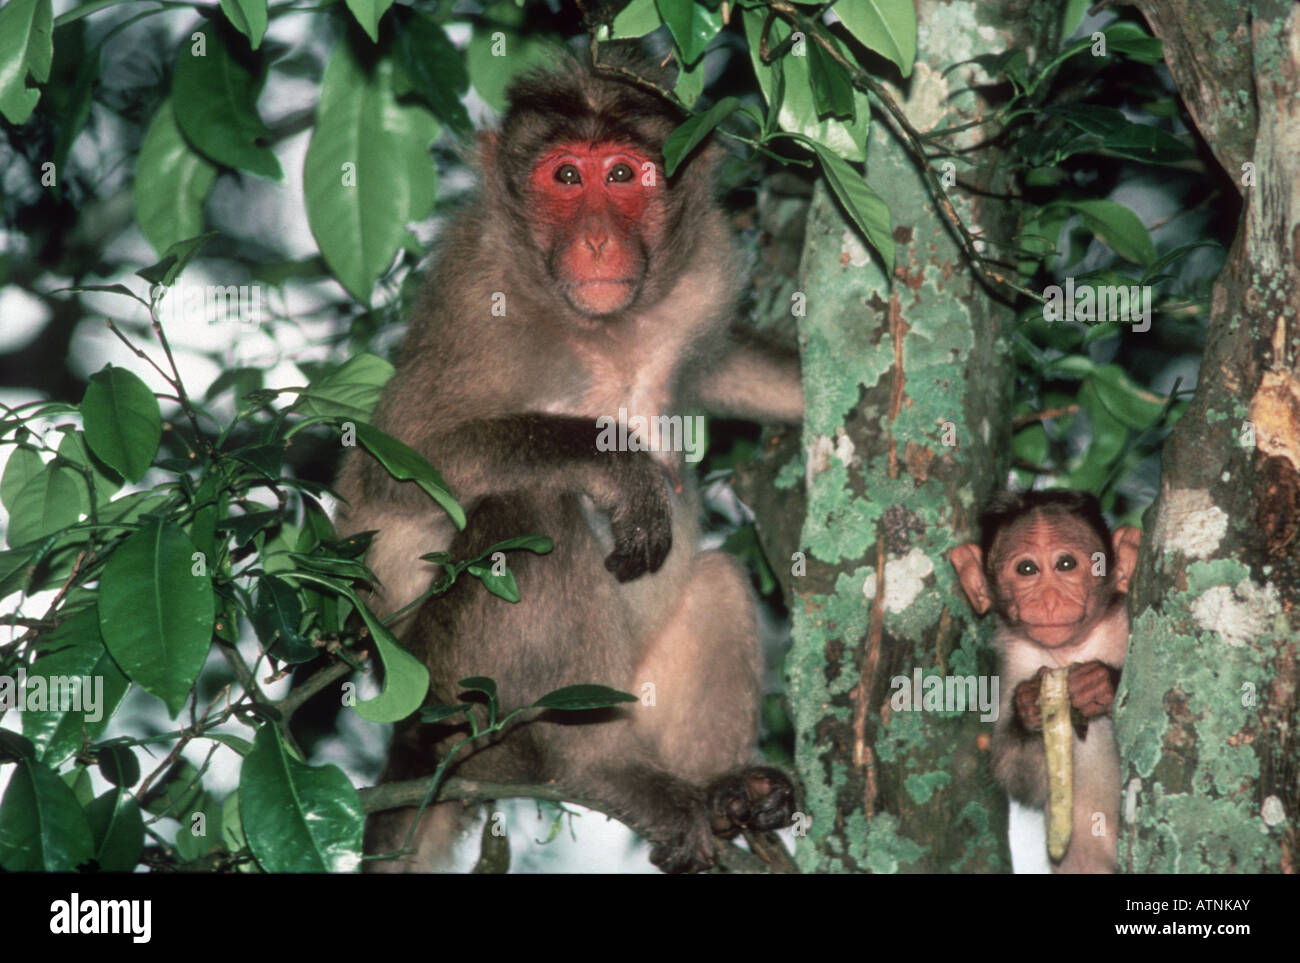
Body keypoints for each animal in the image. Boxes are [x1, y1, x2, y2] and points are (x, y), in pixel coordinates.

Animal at [334, 51, 803, 873]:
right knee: (534, 512)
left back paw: (721, 794)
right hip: (461, 708)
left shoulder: (704, 274)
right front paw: (622, 473)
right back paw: (602, 770)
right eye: (564, 177)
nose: (595, 241)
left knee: (715, 575)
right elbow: (390, 472)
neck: (600, 329)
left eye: (621, 175)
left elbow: (721, 367)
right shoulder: (474, 293)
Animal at [948, 490, 1141, 873]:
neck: (1070, 651)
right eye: (1026, 569)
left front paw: (1100, 684)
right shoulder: (1016, 665)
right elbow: (1025, 781)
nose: (1049, 600)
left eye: (1065, 564)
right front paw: (1028, 710)